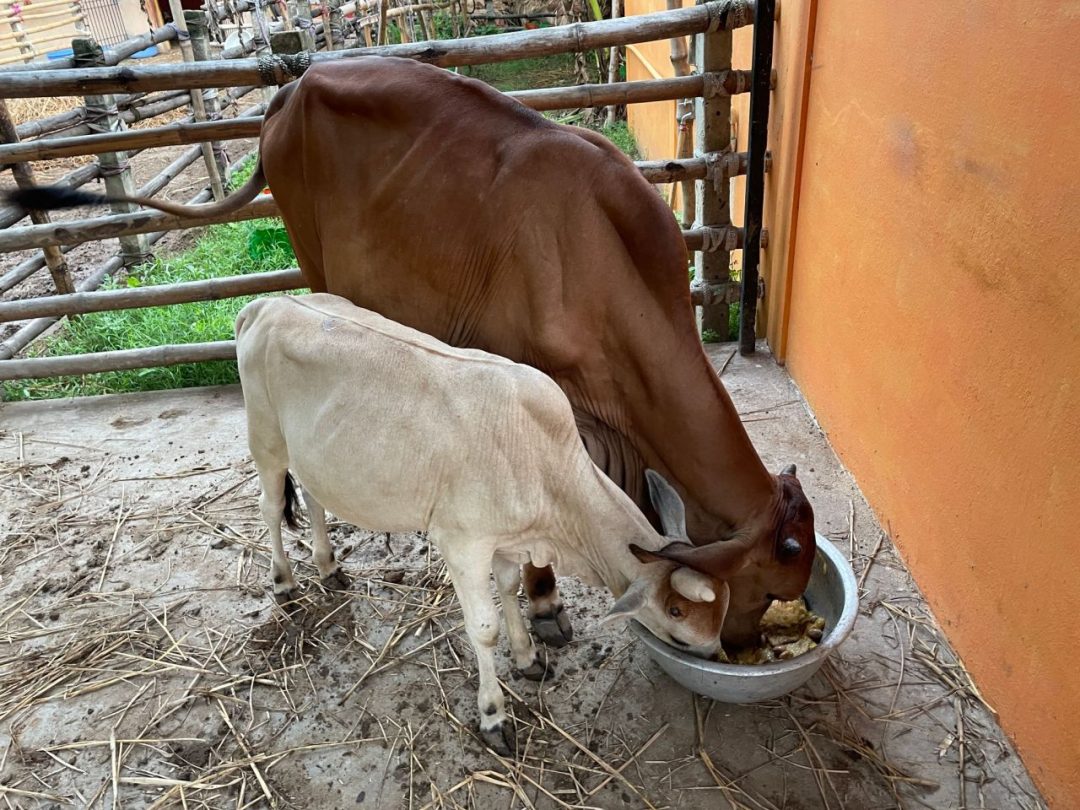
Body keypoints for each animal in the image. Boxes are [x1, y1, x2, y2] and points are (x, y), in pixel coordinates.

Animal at [9, 55, 816, 648]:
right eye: (770, 587)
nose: (743, 648)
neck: (603, 261)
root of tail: (292, 87)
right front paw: (544, 603)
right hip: (310, 255)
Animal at [235, 293, 734, 753]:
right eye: (680, 636)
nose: (720, 660)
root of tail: (265, 303)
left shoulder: (508, 542)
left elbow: (511, 589)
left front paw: (528, 657)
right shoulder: (463, 544)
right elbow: (484, 628)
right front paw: (494, 715)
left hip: (312, 456)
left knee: (314, 499)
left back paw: (329, 567)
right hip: (266, 441)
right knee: (268, 506)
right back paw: (284, 582)